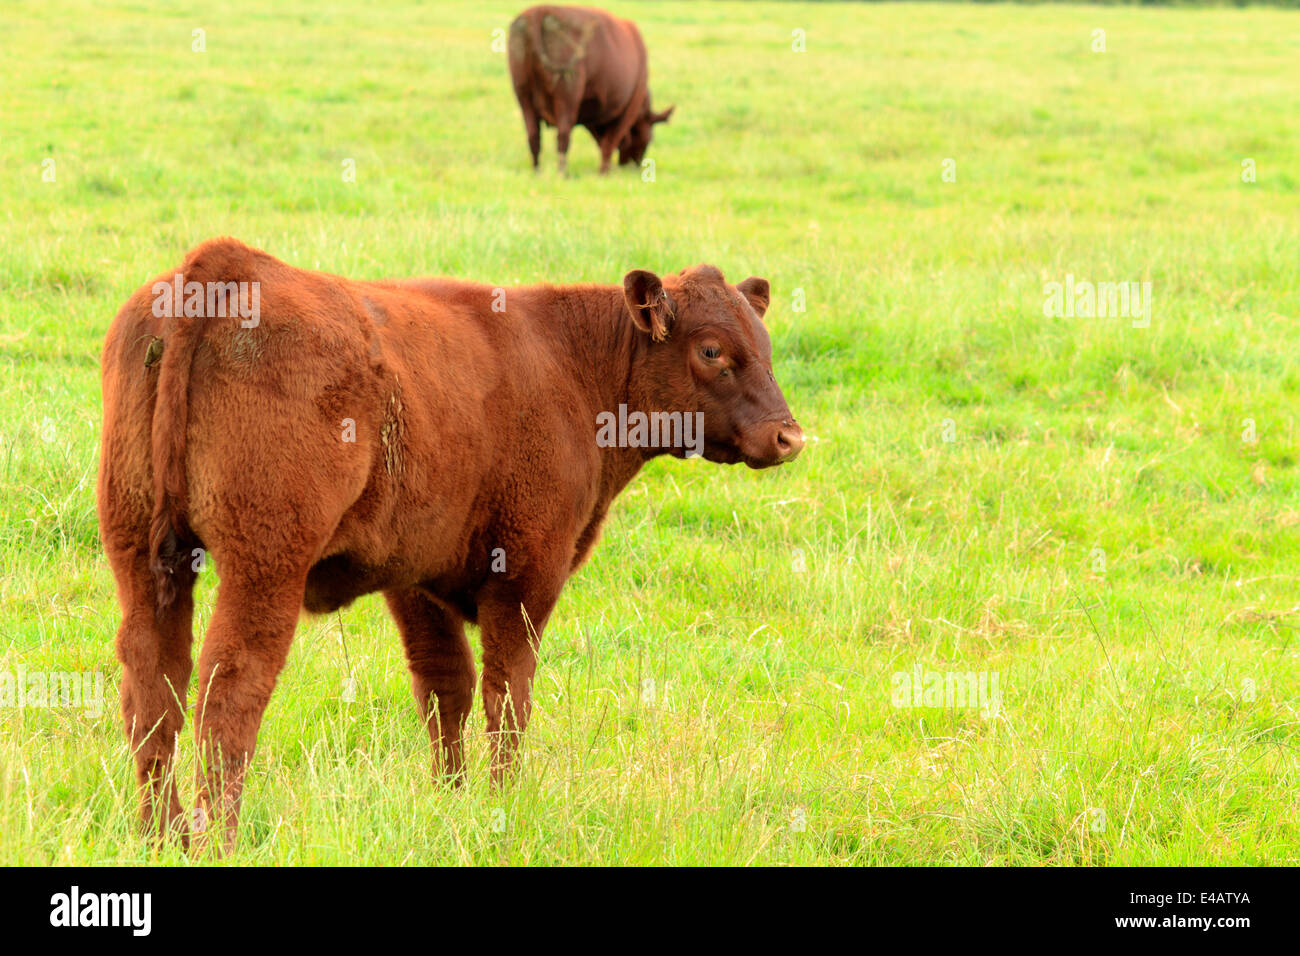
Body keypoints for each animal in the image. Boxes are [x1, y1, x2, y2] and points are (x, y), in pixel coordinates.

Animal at [98, 238, 804, 850]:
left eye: (765, 346)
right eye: (711, 350)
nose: (788, 437)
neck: (573, 366)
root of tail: (224, 265)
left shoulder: (417, 577)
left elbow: (446, 688)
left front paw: (452, 797)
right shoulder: (527, 569)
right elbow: (507, 691)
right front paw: (502, 801)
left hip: (144, 558)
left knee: (153, 690)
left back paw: (159, 836)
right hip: (264, 567)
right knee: (228, 696)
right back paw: (216, 841)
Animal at [508, 5, 674, 173]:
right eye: (649, 138)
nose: (634, 166)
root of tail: (540, 10)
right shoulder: (628, 109)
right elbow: (609, 143)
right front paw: (604, 172)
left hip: (523, 95)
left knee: (534, 136)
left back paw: (537, 172)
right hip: (567, 97)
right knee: (563, 136)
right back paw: (563, 174)